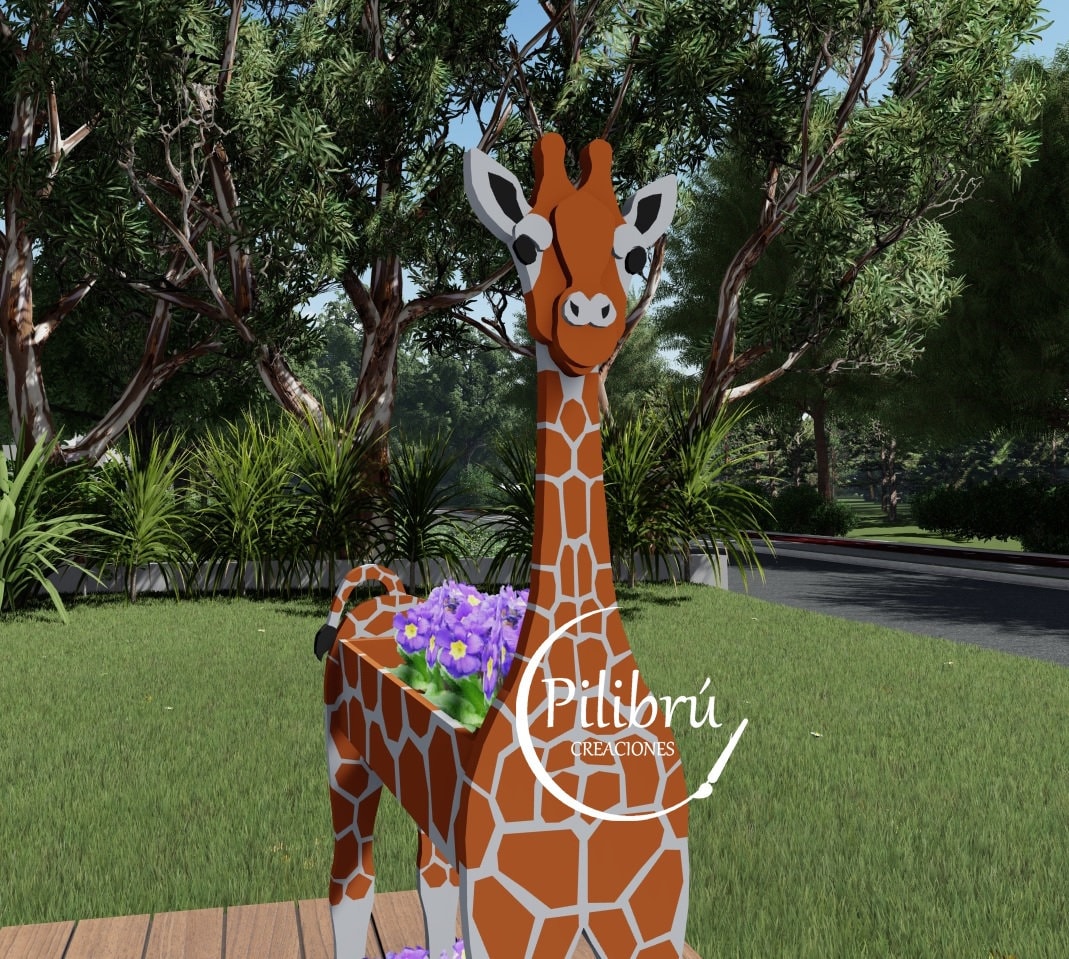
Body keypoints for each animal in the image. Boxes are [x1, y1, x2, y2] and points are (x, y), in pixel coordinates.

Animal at [315, 132, 687, 959]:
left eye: (632, 251)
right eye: (524, 243)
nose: (588, 317)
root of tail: (387, 597)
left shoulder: (652, 916)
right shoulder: (512, 916)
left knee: (427, 875)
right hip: (345, 759)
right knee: (348, 886)